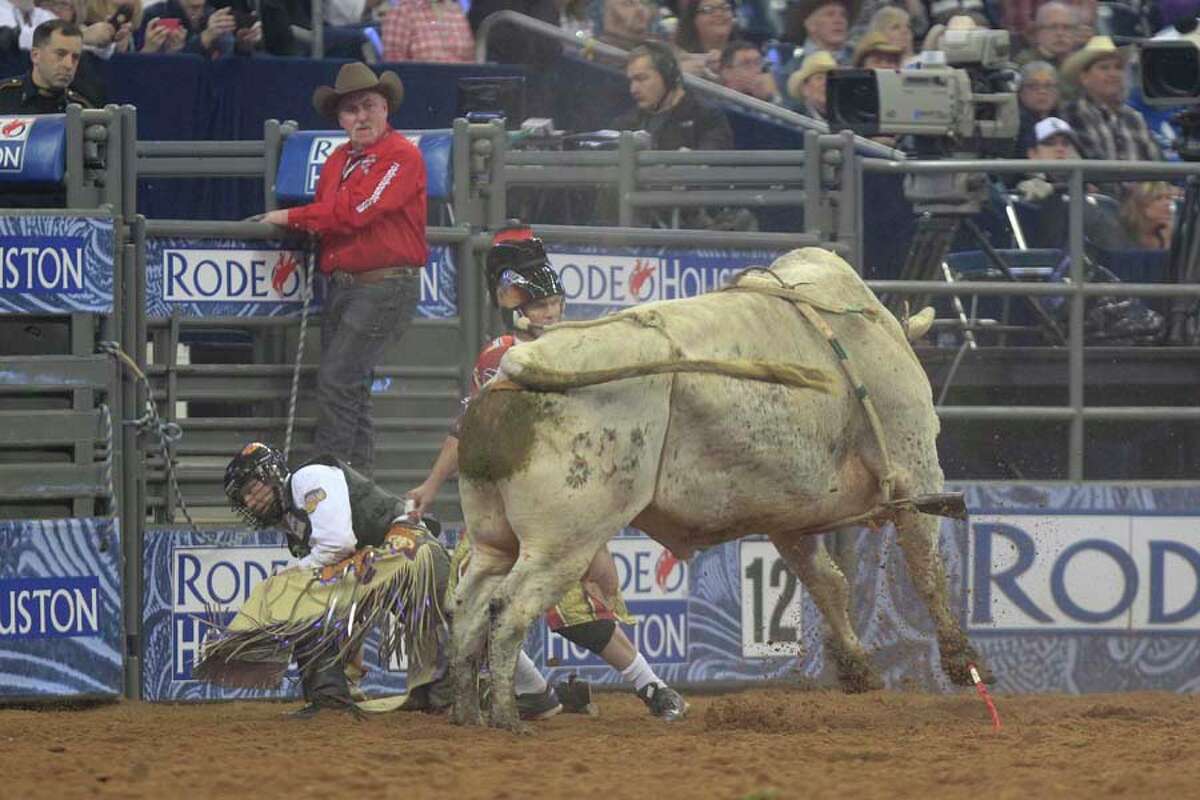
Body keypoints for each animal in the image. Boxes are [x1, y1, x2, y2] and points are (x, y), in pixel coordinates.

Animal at [449, 247, 986, 731]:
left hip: (494, 537)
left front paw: (859, 669)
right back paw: (506, 716)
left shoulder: (791, 518)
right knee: (508, 609)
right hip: (563, 542)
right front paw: (962, 661)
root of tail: (514, 367)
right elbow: (926, 569)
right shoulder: (915, 469)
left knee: (467, 608)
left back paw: (467, 711)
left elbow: (827, 582)